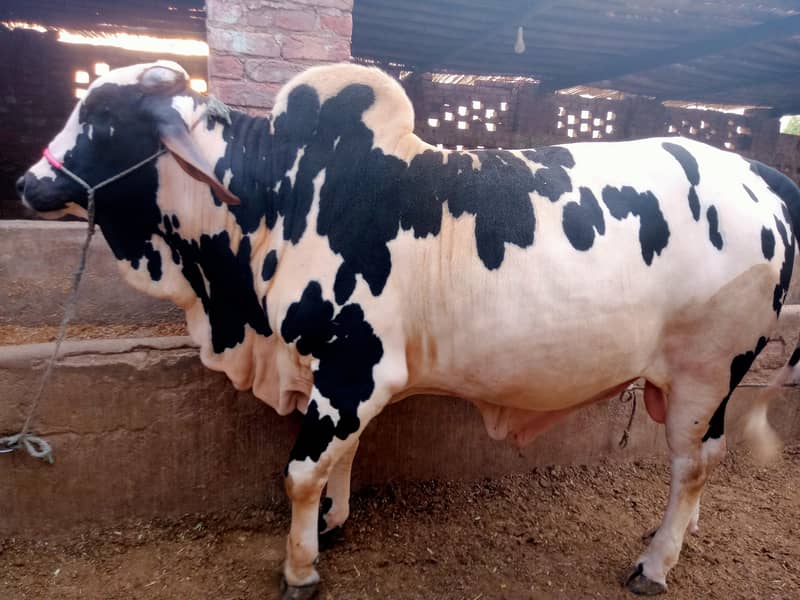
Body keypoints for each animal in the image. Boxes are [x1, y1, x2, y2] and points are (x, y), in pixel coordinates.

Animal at [16, 60, 800, 598]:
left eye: (103, 115)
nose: (27, 182)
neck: (279, 194)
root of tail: (759, 172)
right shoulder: (339, 373)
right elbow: (343, 456)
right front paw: (331, 526)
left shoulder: (354, 366)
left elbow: (302, 471)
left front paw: (299, 568)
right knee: (699, 465)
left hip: (706, 372)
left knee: (691, 464)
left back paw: (655, 563)